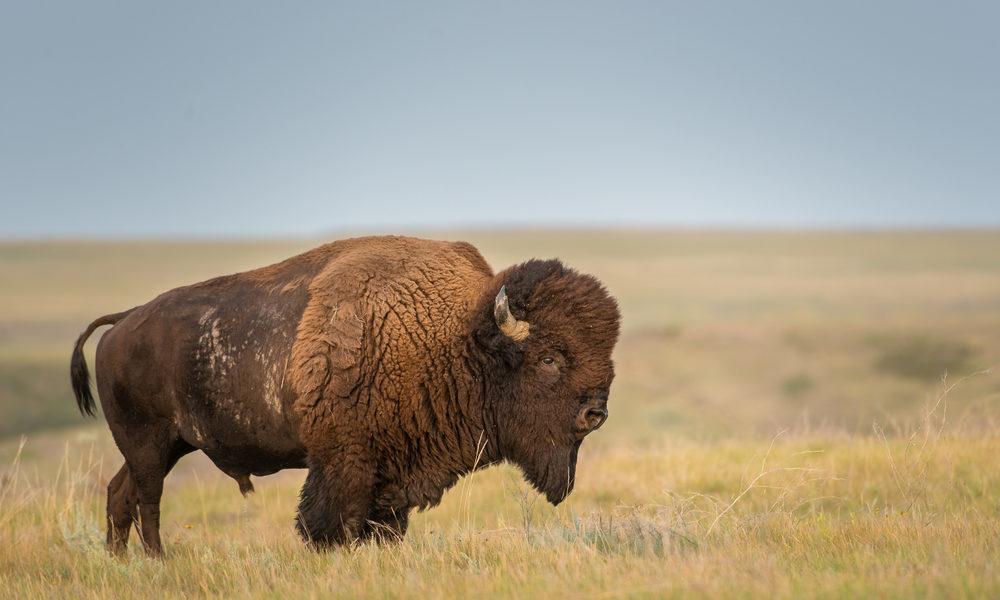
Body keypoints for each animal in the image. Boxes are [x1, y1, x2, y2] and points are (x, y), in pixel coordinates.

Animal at [71, 236, 621, 556]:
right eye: (548, 358)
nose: (596, 412)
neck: (454, 337)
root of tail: (124, 321)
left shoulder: (395, 469)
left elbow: (386, 524)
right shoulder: (345, 460)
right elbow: (333, 522)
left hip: (166, 446)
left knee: (120, 493)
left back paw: (121, 562)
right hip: (148, 444)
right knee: (147, 500)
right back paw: (156, 559)